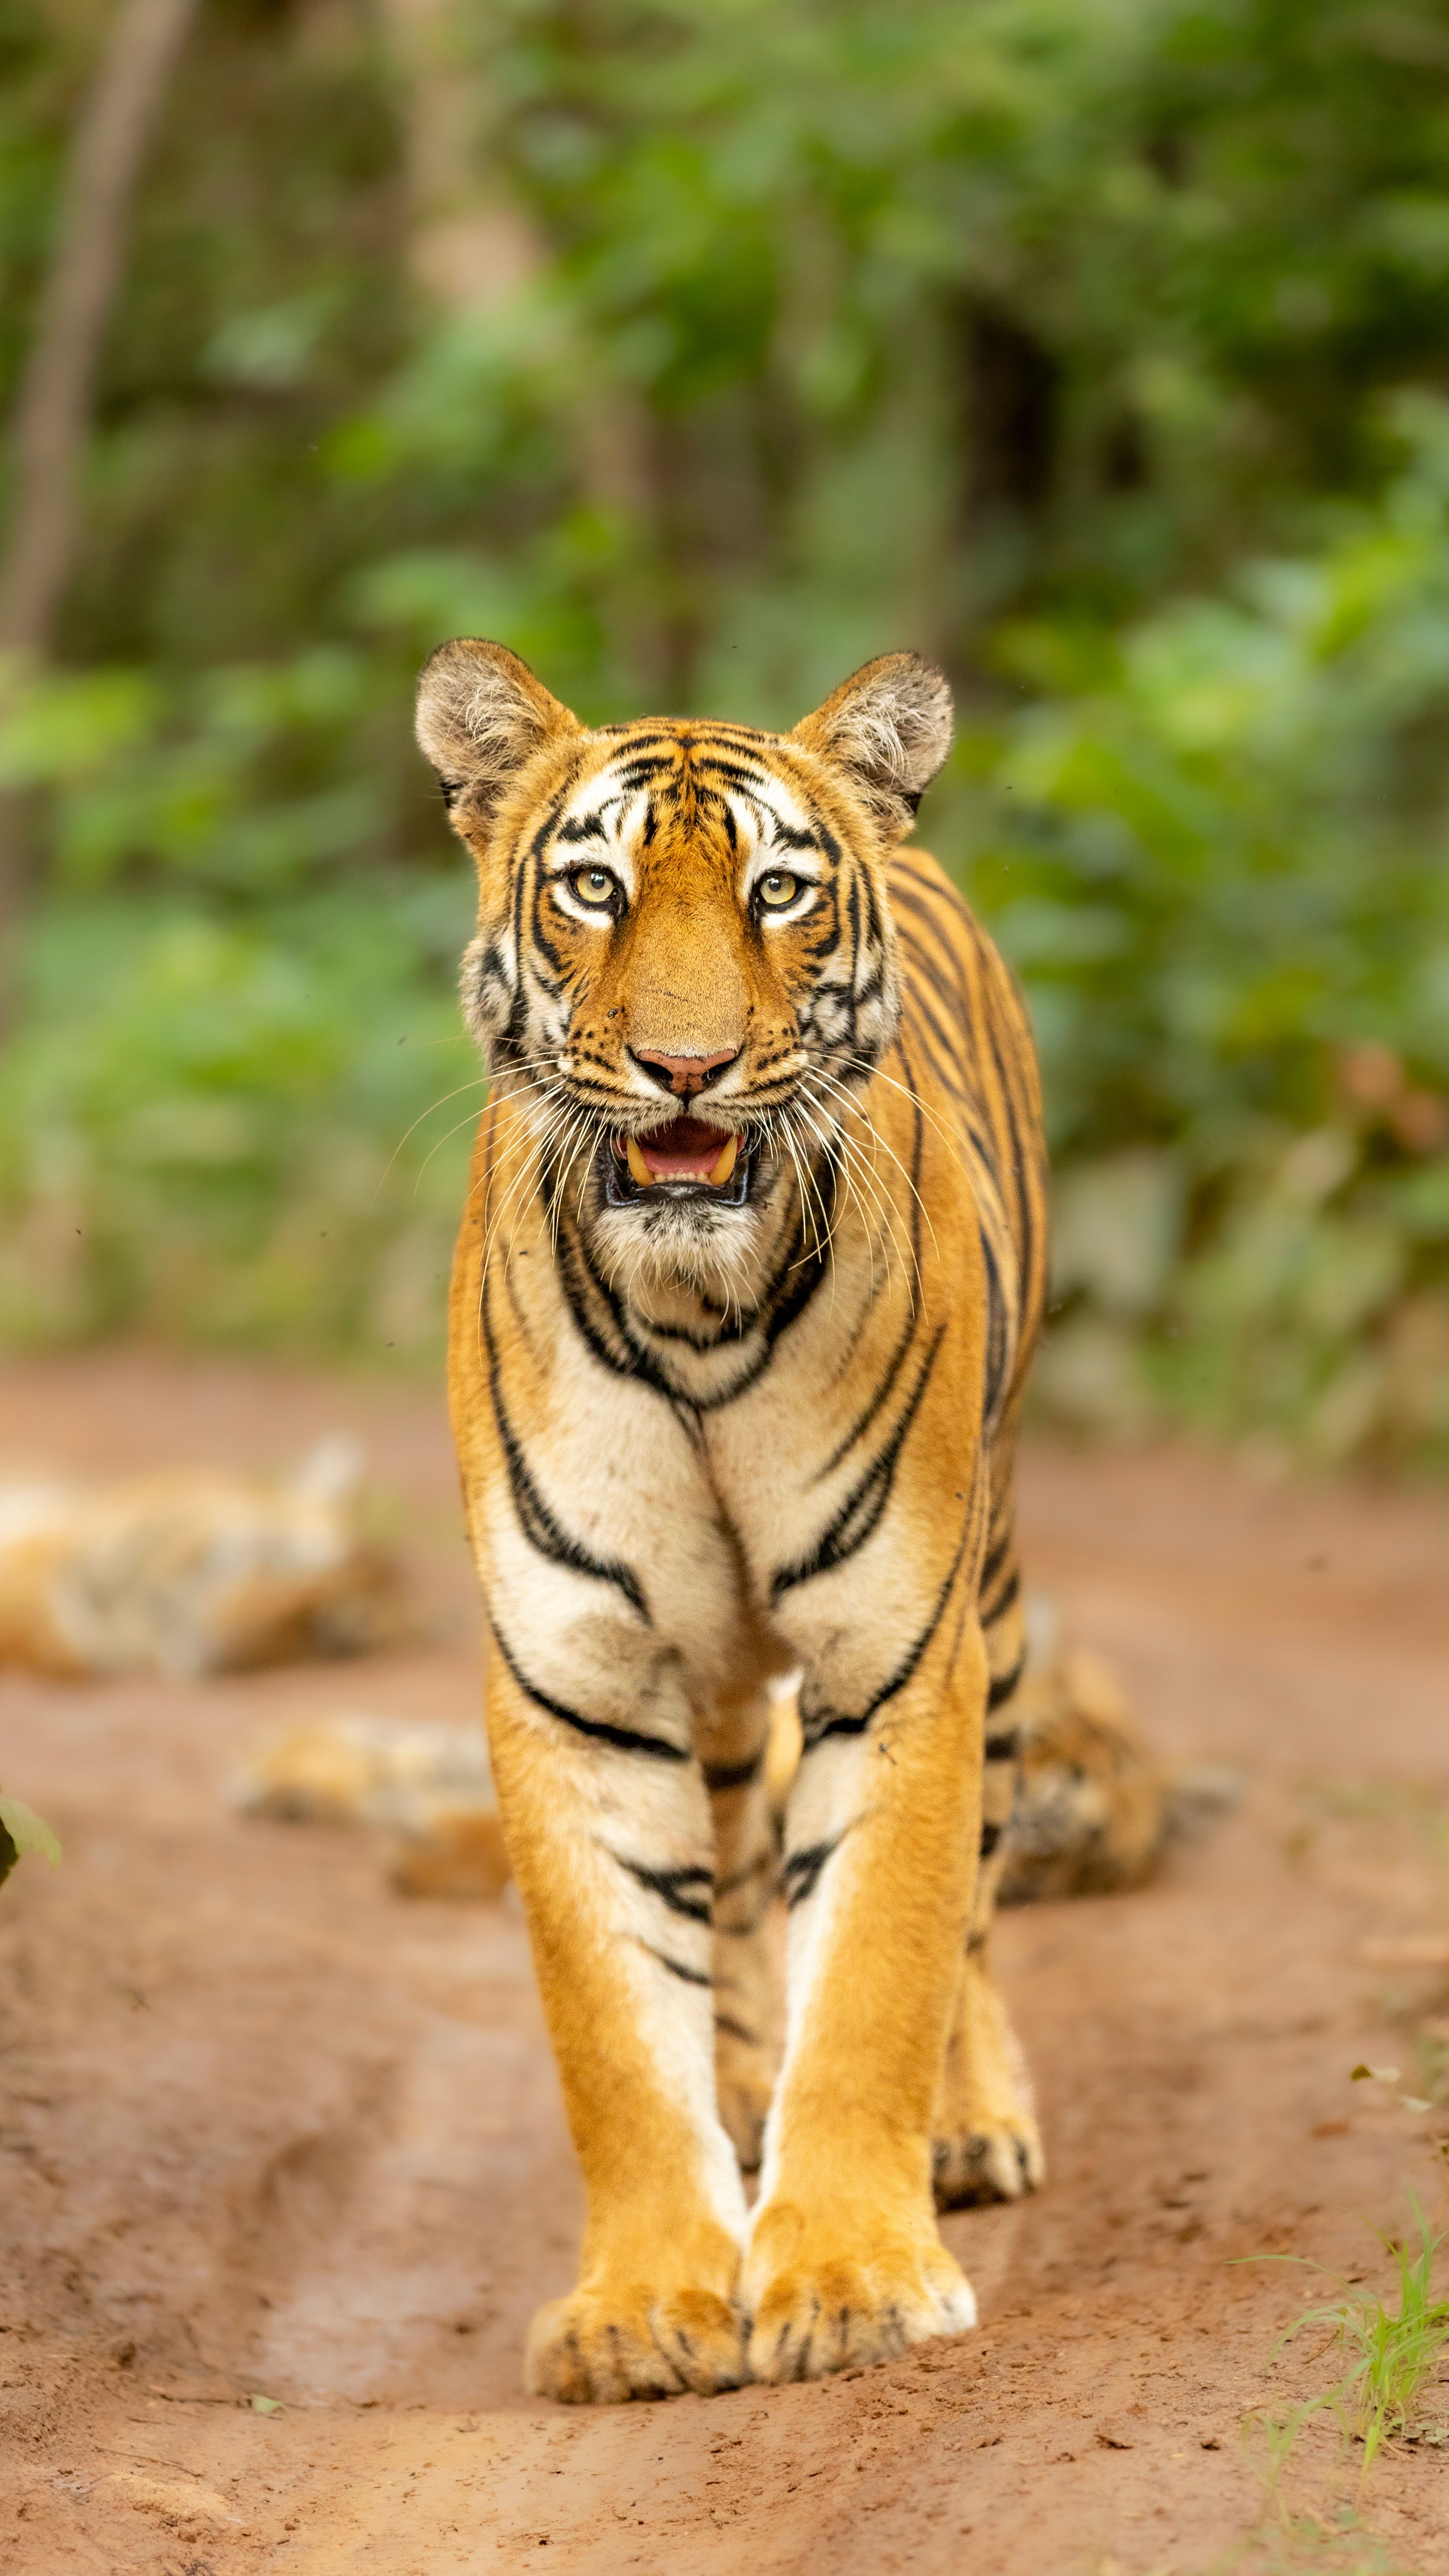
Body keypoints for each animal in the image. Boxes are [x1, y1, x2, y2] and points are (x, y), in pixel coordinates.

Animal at [414, 638, 1050, 2403]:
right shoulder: (576, 1680)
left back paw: (972, 2124)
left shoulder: (897, 1655)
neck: (694, 1319)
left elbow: (885, 1962)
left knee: (975, 1907)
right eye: (594, 886)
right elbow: (619, 2027)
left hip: (998, 1599)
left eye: (776, 890)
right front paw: (643, 2304)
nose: (686, 1071)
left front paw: (848, 2278)